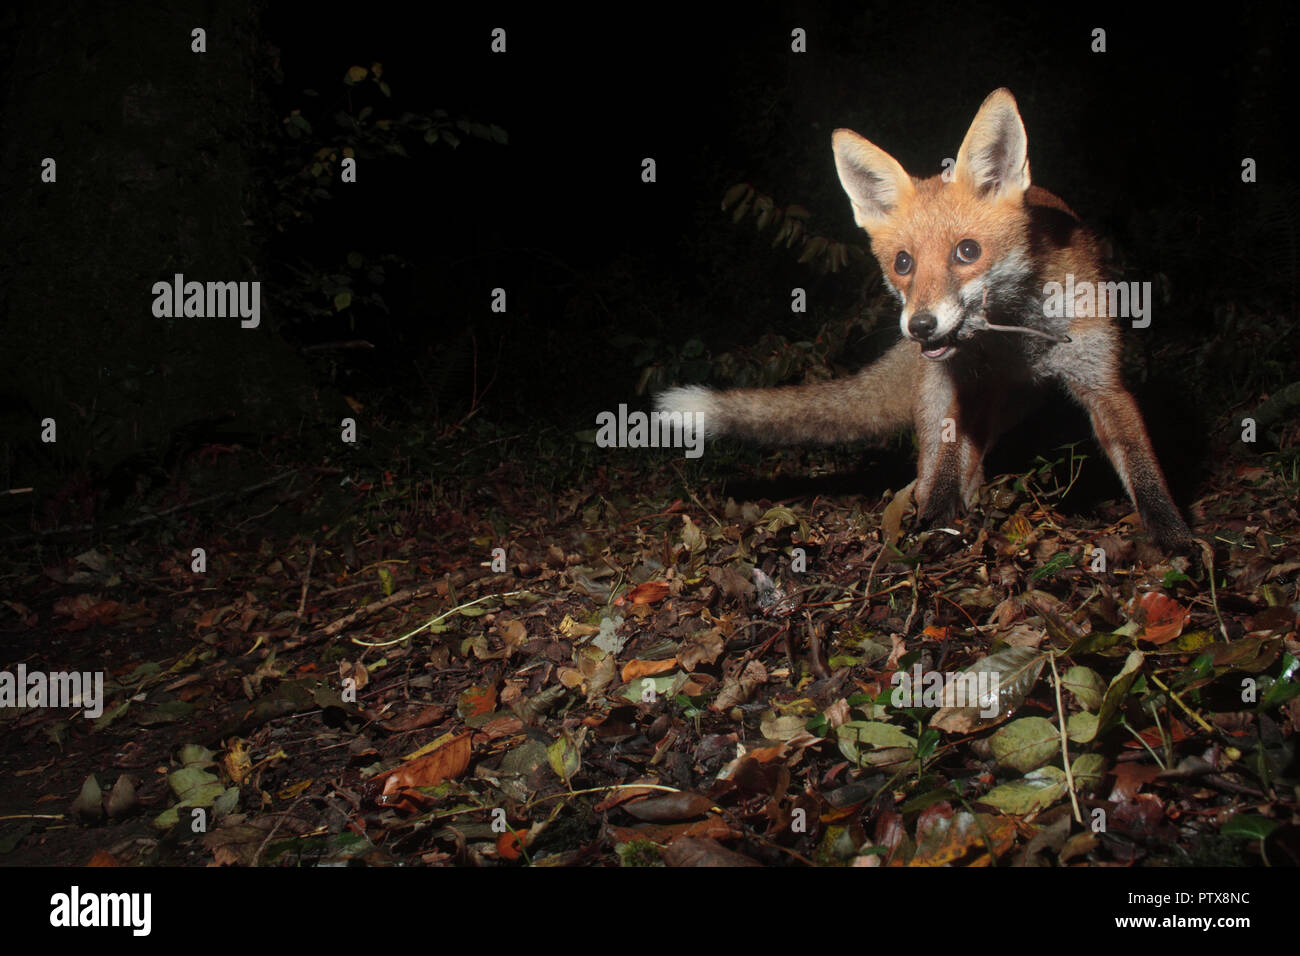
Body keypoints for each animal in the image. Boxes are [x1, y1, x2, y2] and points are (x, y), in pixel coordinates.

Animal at [657, 89, 1192, 551]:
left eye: (968, 252)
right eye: (903, 263)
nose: (919, 327)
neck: (1014, 339)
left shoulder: (1101, 380)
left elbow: (1143, 468)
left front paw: (1177, 539)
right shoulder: (960, 387)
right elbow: (945, 471)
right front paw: (935, 525)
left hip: (1012, 405)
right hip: (942, 397)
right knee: (936, 463)